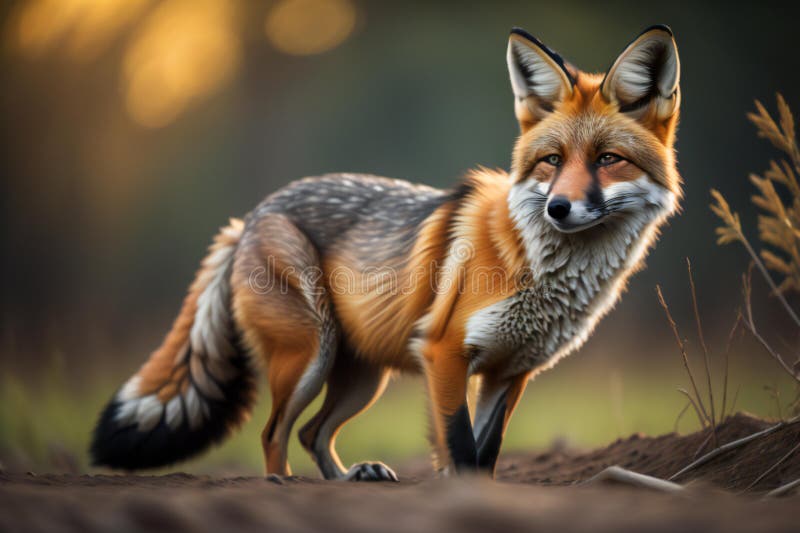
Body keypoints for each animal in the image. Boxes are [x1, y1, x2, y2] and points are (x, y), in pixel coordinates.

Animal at [91, 25, 682, 481]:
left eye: (608, 160)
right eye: (552, 161)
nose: (559, 208)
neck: (536, 267)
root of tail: (251, 216)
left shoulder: (509, 373)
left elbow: (485, 454)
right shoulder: (444, 353)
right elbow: (460, 449)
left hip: (361, 378)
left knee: (311, 432)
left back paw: (350, 477)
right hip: (310, 356)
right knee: (273, 433)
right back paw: (283, 486)